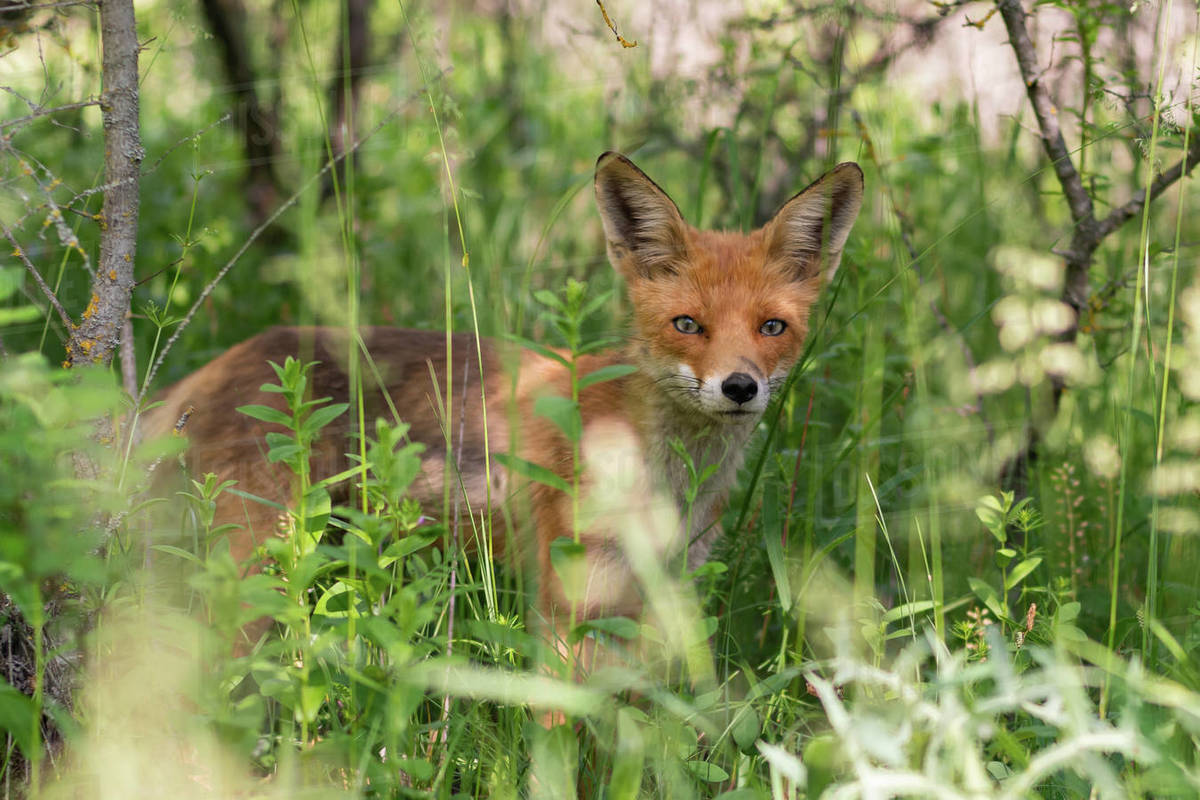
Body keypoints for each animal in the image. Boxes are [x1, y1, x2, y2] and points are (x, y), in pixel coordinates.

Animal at [143, 151, 864, 663]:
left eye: (772, 328)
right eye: (688, 325)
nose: (739, 387)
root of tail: (218, 364)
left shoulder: (659, 595)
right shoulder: (567, 602)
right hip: (256, 564)